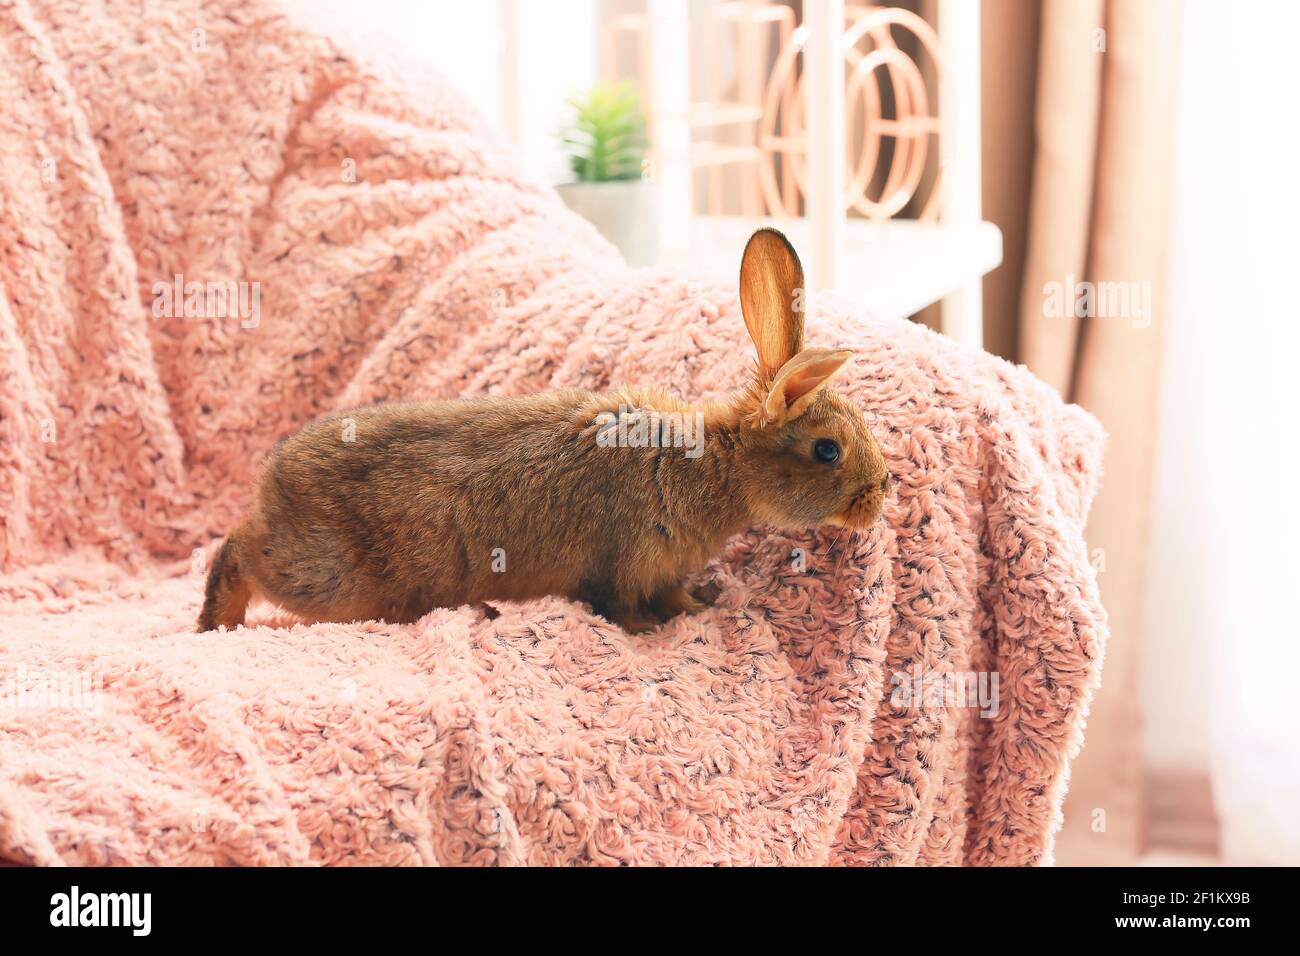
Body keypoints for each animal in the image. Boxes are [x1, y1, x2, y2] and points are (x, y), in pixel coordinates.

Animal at [197, 228, 889, 635]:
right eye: (828, 450)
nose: (881, 495)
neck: (715, 463)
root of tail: (272, 480)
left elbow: (671, 596)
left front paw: (697, 607)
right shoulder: (625, 562)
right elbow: (622, 606)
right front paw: (657, 628)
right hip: (329, 578)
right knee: (236, 551)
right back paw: (215, 624)